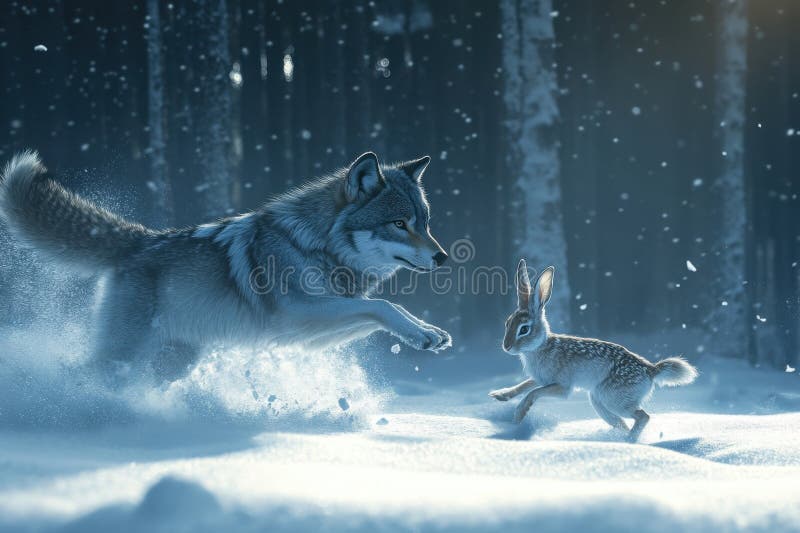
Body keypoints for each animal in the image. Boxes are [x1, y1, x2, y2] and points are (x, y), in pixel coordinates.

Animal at [0, 151, 452, 381]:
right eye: (399, 224)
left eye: (425, 222)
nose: (442, 257)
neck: (316, 243)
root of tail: (139, 239)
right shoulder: (300, 315)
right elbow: (384, 306)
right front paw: (423, 333)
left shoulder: (315, 330)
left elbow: (385, 312)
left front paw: (427, 333)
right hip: (125, 354)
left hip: (173, 362)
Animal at [489, 259, 698, 442]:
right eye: (508, 323)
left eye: (524, 329)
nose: (507, 346)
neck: (540, 346)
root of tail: (651, 370)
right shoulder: (540, 379)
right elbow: (524, 385)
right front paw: (500, 395)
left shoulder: (562, 387)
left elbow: (533, 393)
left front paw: (518, 415)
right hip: (599, 401)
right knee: (622, 422)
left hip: (614, 399)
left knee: (642, 416)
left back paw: (628, 441)